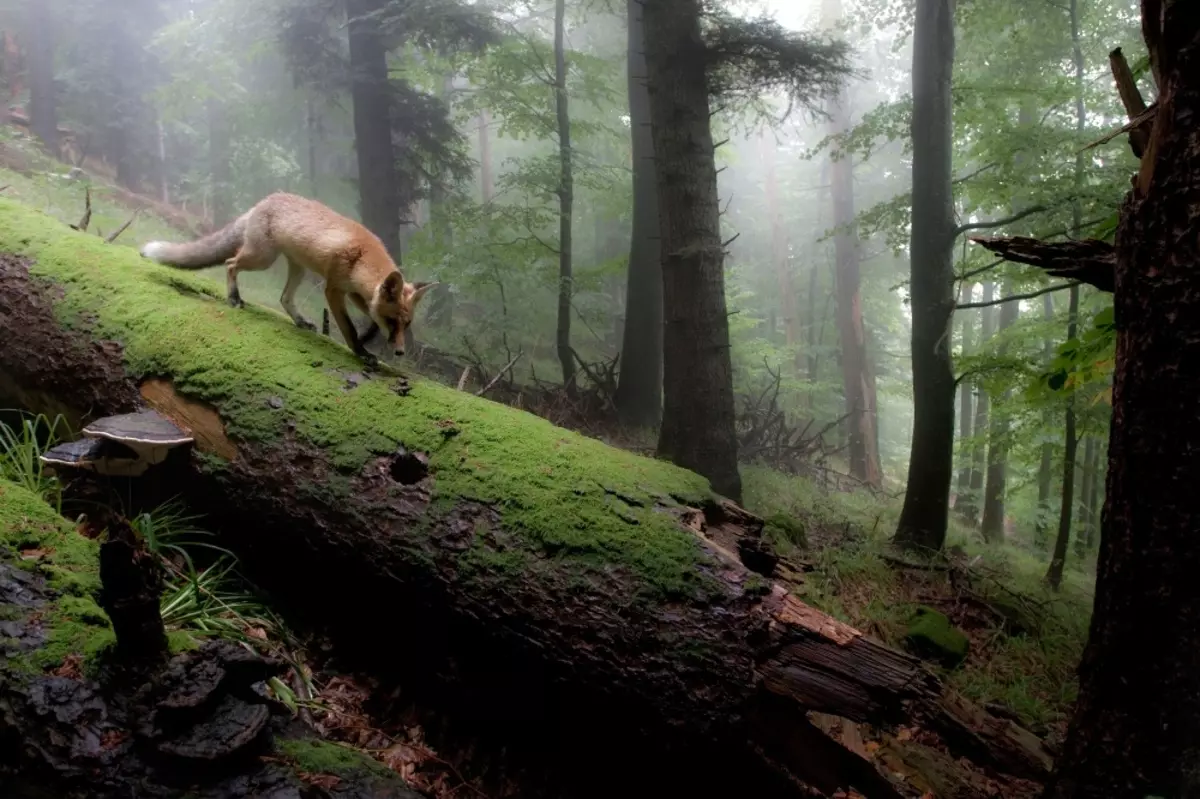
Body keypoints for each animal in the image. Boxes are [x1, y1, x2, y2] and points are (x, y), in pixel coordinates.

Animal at [140, 193, 439, 367]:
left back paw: (299, 321)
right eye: (393, 321)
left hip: (298, 270)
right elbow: (349, 328)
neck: (361, 256)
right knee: (230, 264)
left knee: (283, 298)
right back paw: (234, 297)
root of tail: (262, 202)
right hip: (262, 258)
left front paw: (369, 338)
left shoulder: (357, 293)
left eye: (406, 324)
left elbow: (369, 319)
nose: (399, 353)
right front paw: (360, 351)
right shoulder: (334, 289)